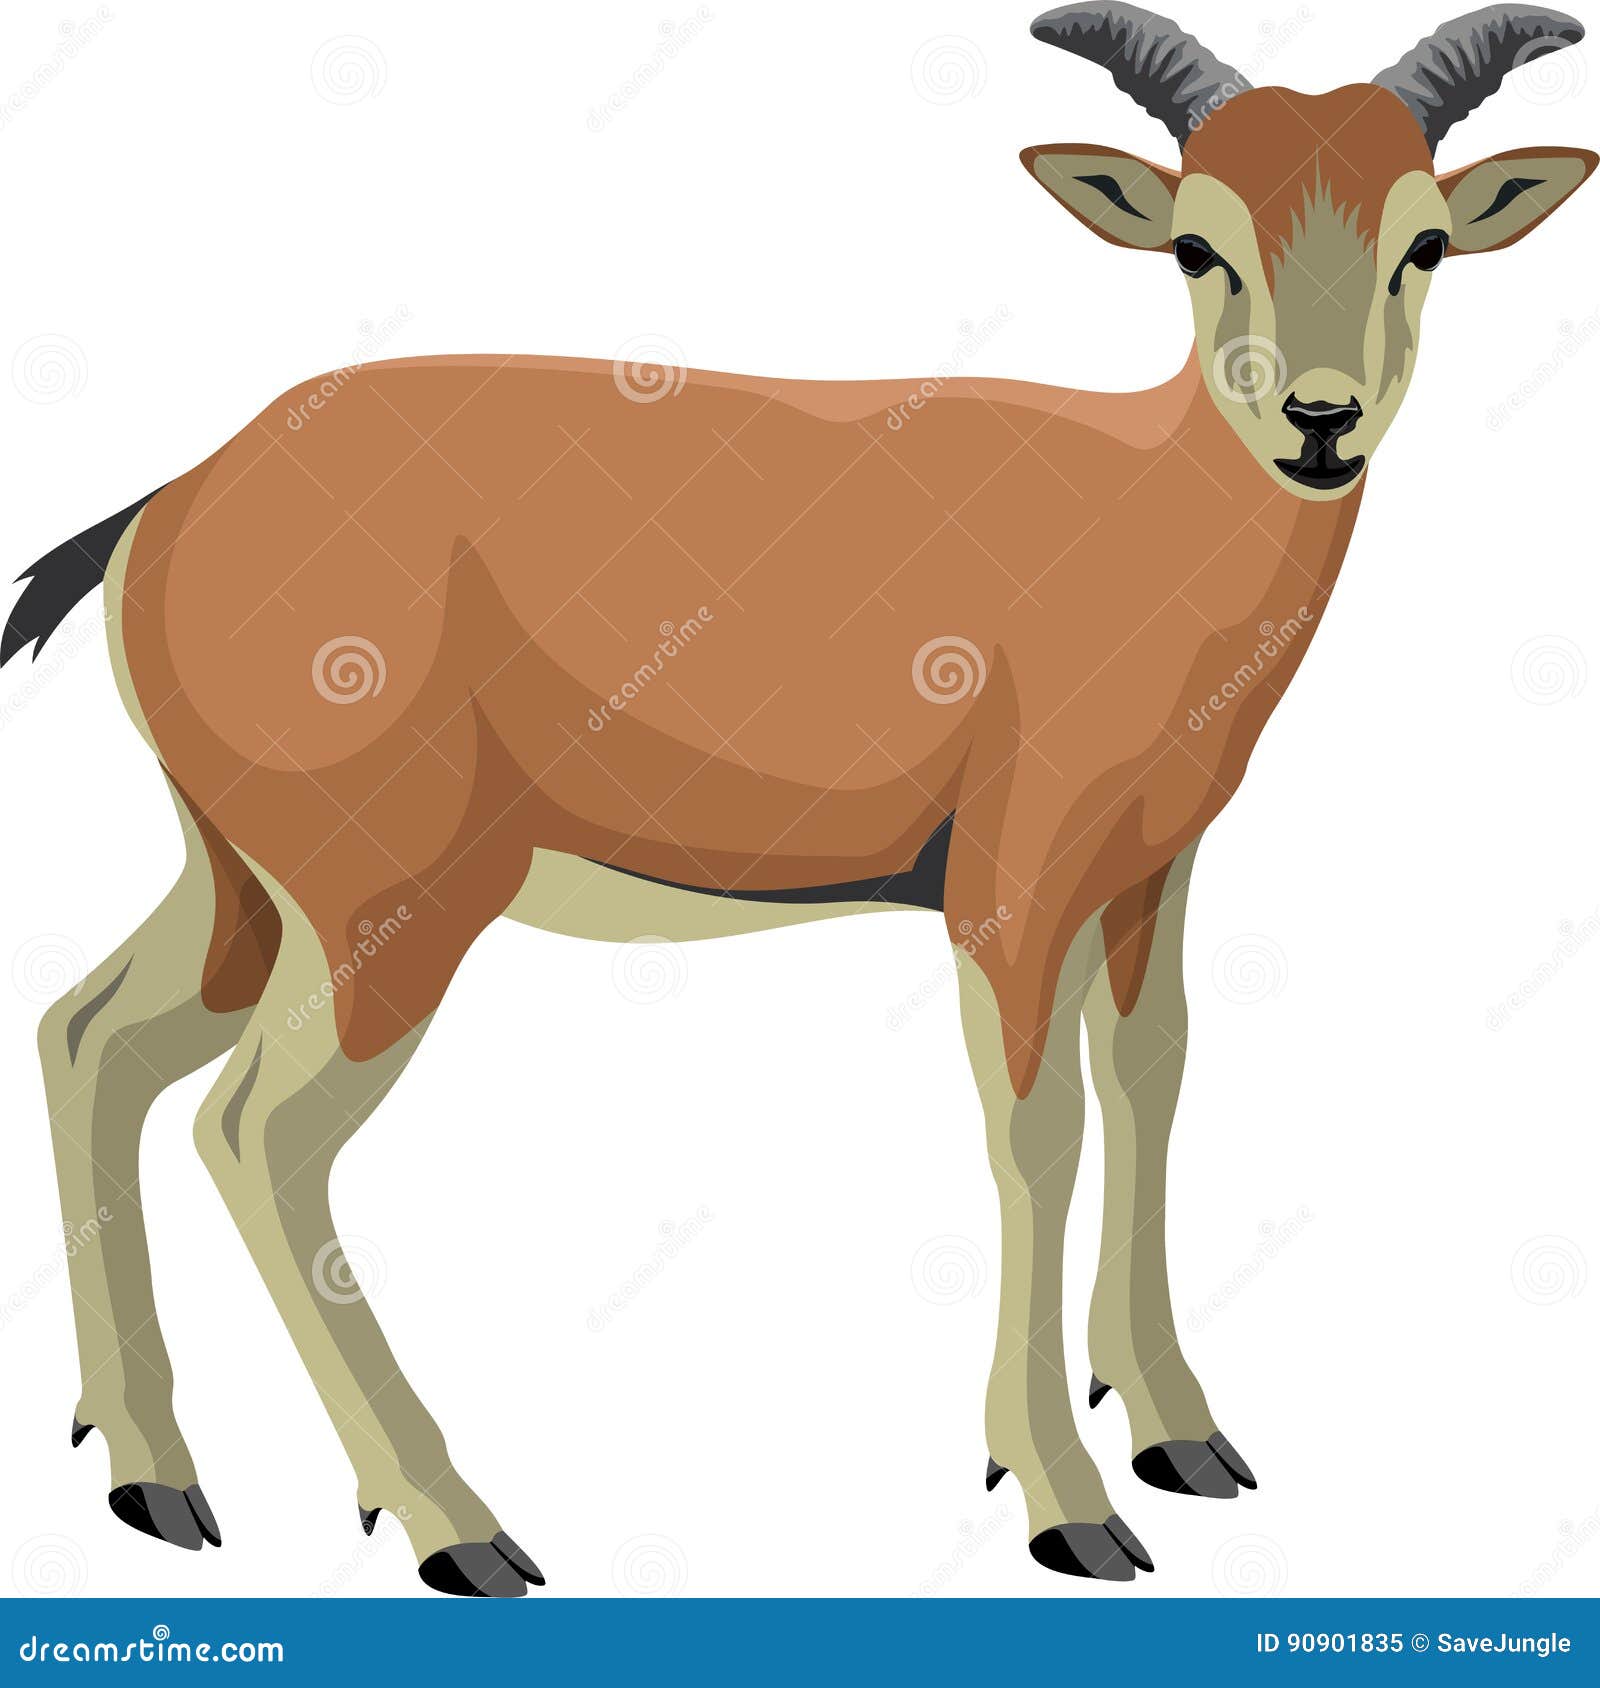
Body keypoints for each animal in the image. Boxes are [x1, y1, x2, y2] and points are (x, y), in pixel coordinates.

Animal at [5, 6, 1592, 1593]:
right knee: (253, 1130)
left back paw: (153, 1479)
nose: (1321, 423)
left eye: (1425, 240)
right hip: (385, 908)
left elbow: (1151, 1080)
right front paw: (1066, 1501)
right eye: (1199, 243)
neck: (1145, 514)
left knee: (90, 1037)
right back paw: (459, 1526)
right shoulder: (1010, 883)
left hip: (244, 889)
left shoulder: (1146, 873)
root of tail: (173, 503)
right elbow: (1038, 1130)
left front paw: (1183, 1438)